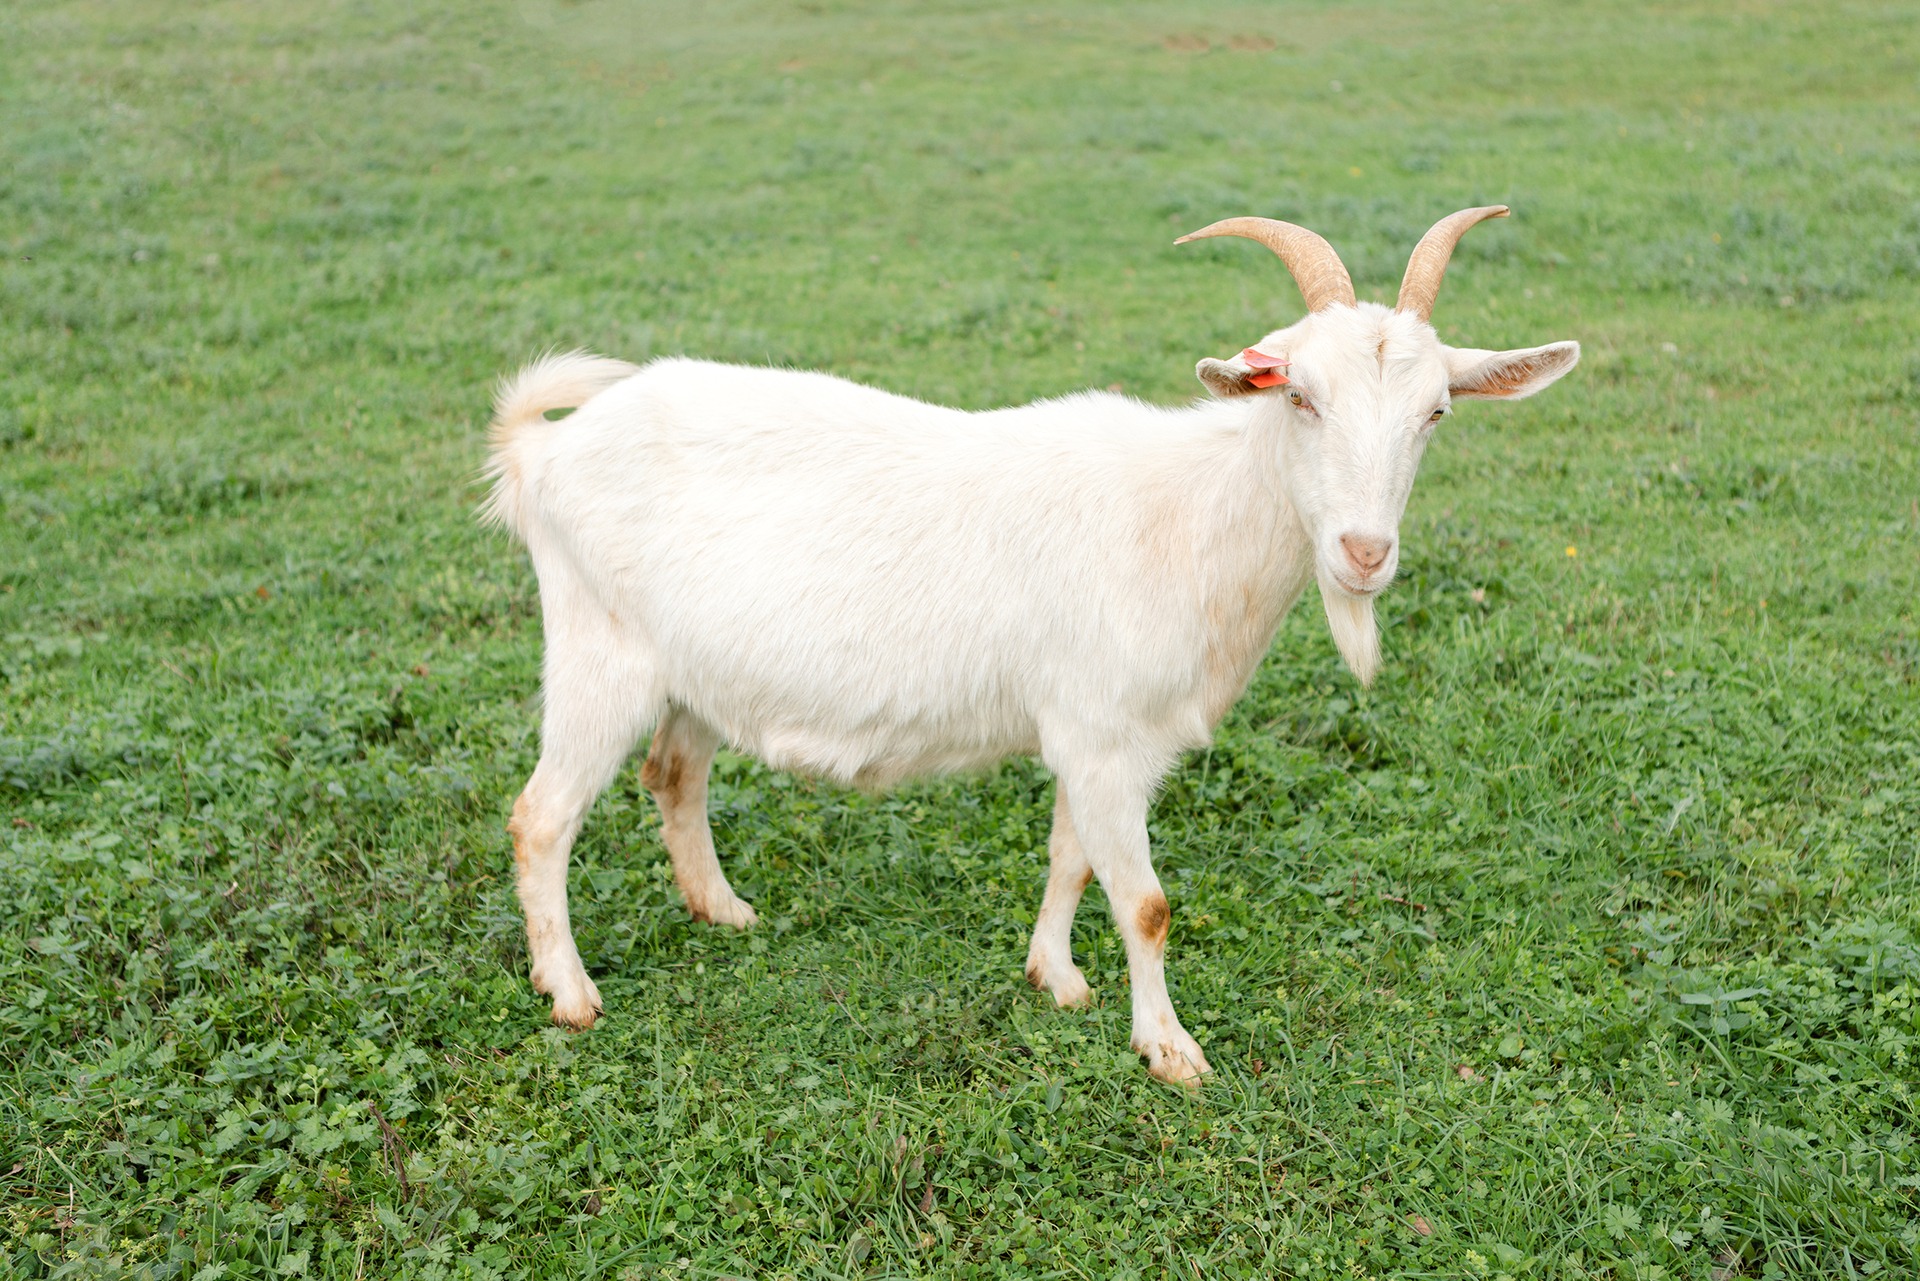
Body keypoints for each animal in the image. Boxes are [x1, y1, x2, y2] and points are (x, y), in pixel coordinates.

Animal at [483, 207, 1579, 1083]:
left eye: (1435, 413)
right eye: (1300, 396)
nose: (1363, 553)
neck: (1188, 517)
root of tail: (544, 449)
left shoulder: (1094, 734)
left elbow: (1070, 859)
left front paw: (1056, 976)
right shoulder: (1104, 738)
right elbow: (1146, 902)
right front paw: (1171, 1051)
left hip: (695, 672)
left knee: (674, 773)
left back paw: (721, 909)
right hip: (598, 653)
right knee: (542, 817)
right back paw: (569, 991)